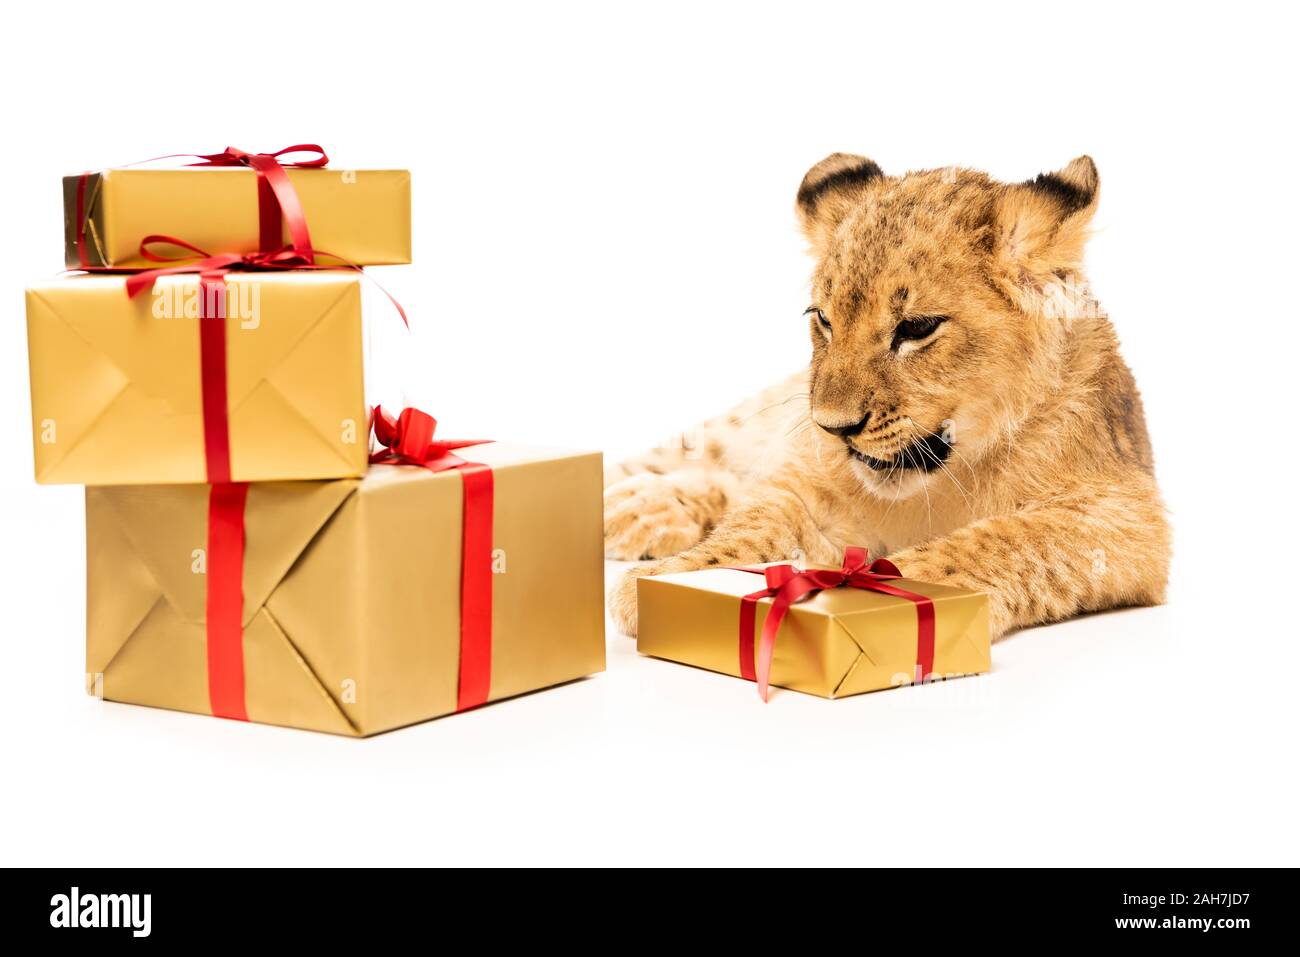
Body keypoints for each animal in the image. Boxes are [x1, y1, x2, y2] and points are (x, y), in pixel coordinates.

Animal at [606, 153, 1170, 640]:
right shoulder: (811, 486)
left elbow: (1002, 541)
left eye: (916, 328)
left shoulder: (1127, 519)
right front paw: (667, 583)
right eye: (823, 319)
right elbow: (754, 524)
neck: (941, 482)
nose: (832, 427)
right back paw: (629, 506)